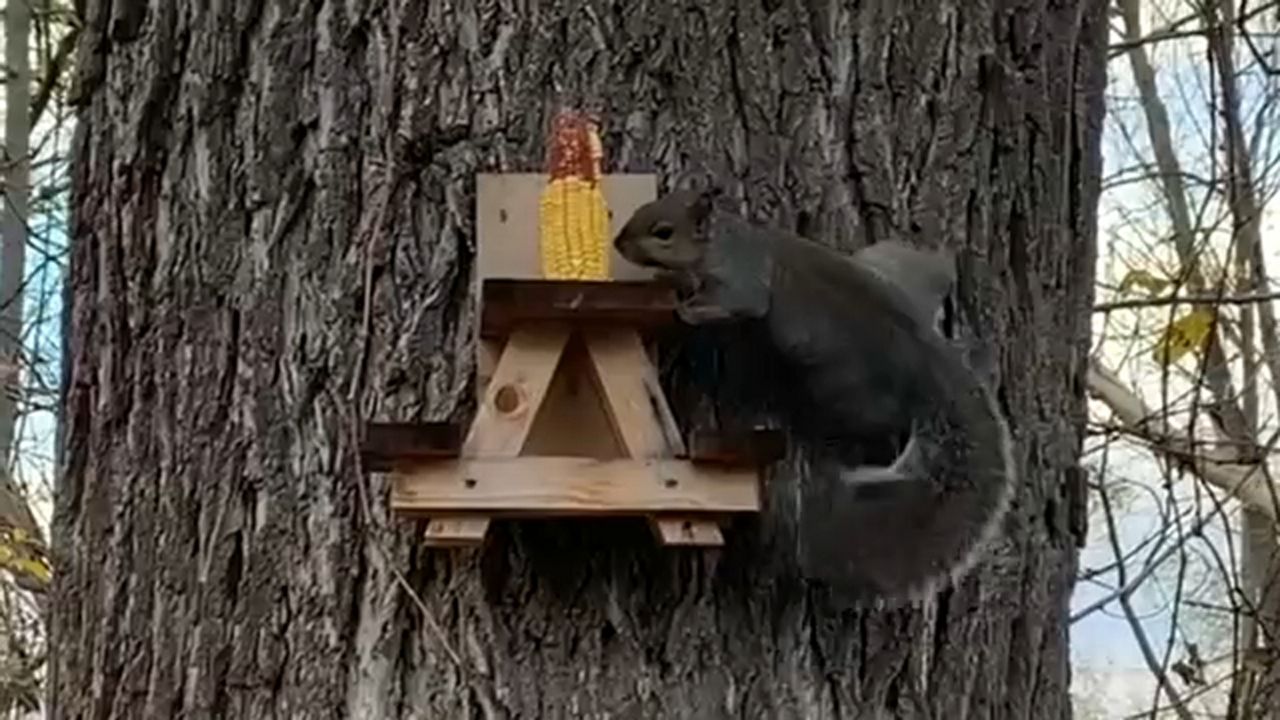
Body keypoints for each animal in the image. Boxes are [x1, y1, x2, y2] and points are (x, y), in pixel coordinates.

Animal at [612, 187, 1016, 608]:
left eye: (663, 232)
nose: (618, 242)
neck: (722, 239)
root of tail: (925, 359)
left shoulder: (742, 281)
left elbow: (737, 303)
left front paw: (685, 307)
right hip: (891, 265)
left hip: (843, 390)